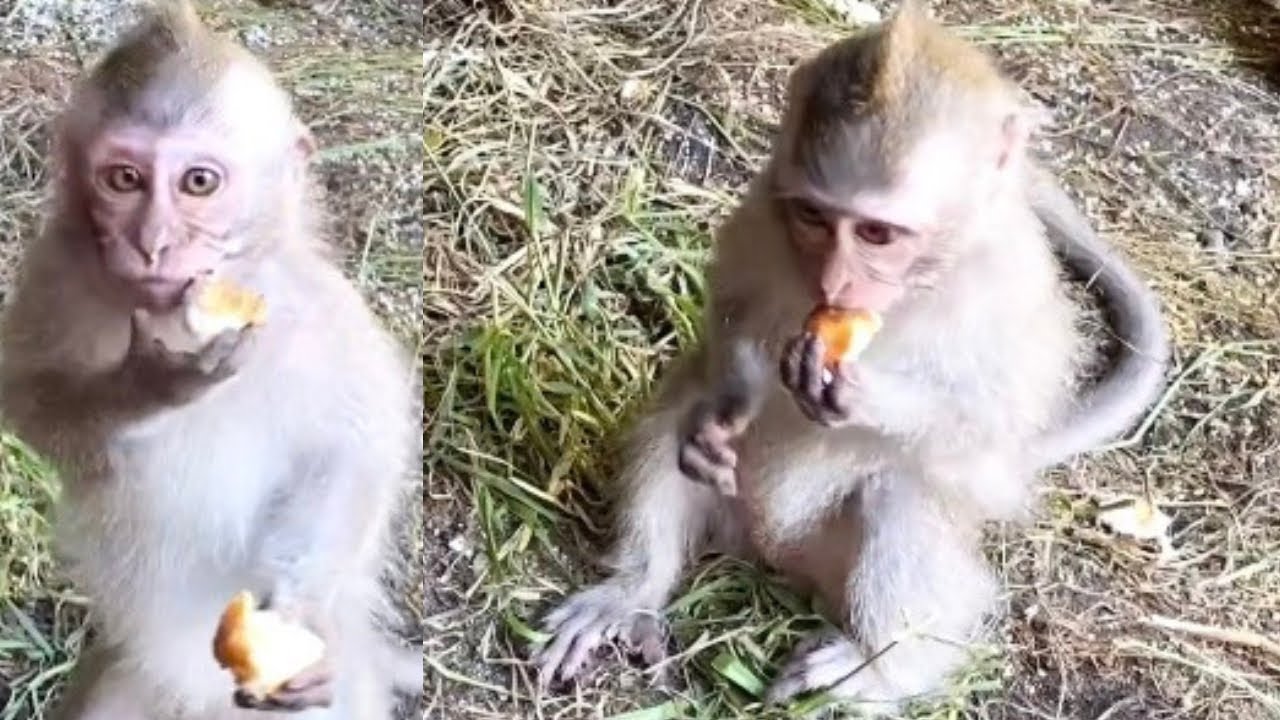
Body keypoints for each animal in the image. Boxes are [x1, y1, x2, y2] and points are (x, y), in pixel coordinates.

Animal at [0, 3, 422, 718]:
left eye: (199, 182)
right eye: (124, 179)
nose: (153, 243)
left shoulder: (322, 312)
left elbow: (354, 447)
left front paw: (298, 620)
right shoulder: (52, 276)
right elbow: (27, 404)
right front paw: (149, 385)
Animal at [534, 1, 1168, 714]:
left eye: (877, 232)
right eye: (814, 217)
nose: (835, 283)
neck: (920, 283)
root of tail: (772, 552)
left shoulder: (1012, 289)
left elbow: (989, 434)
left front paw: (864, 395)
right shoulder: (764, 211)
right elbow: (731, 313)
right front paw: (725, 411)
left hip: (841, 559)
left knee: (902, 492)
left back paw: (876, 670)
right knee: (679, 409)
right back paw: (634, 589)